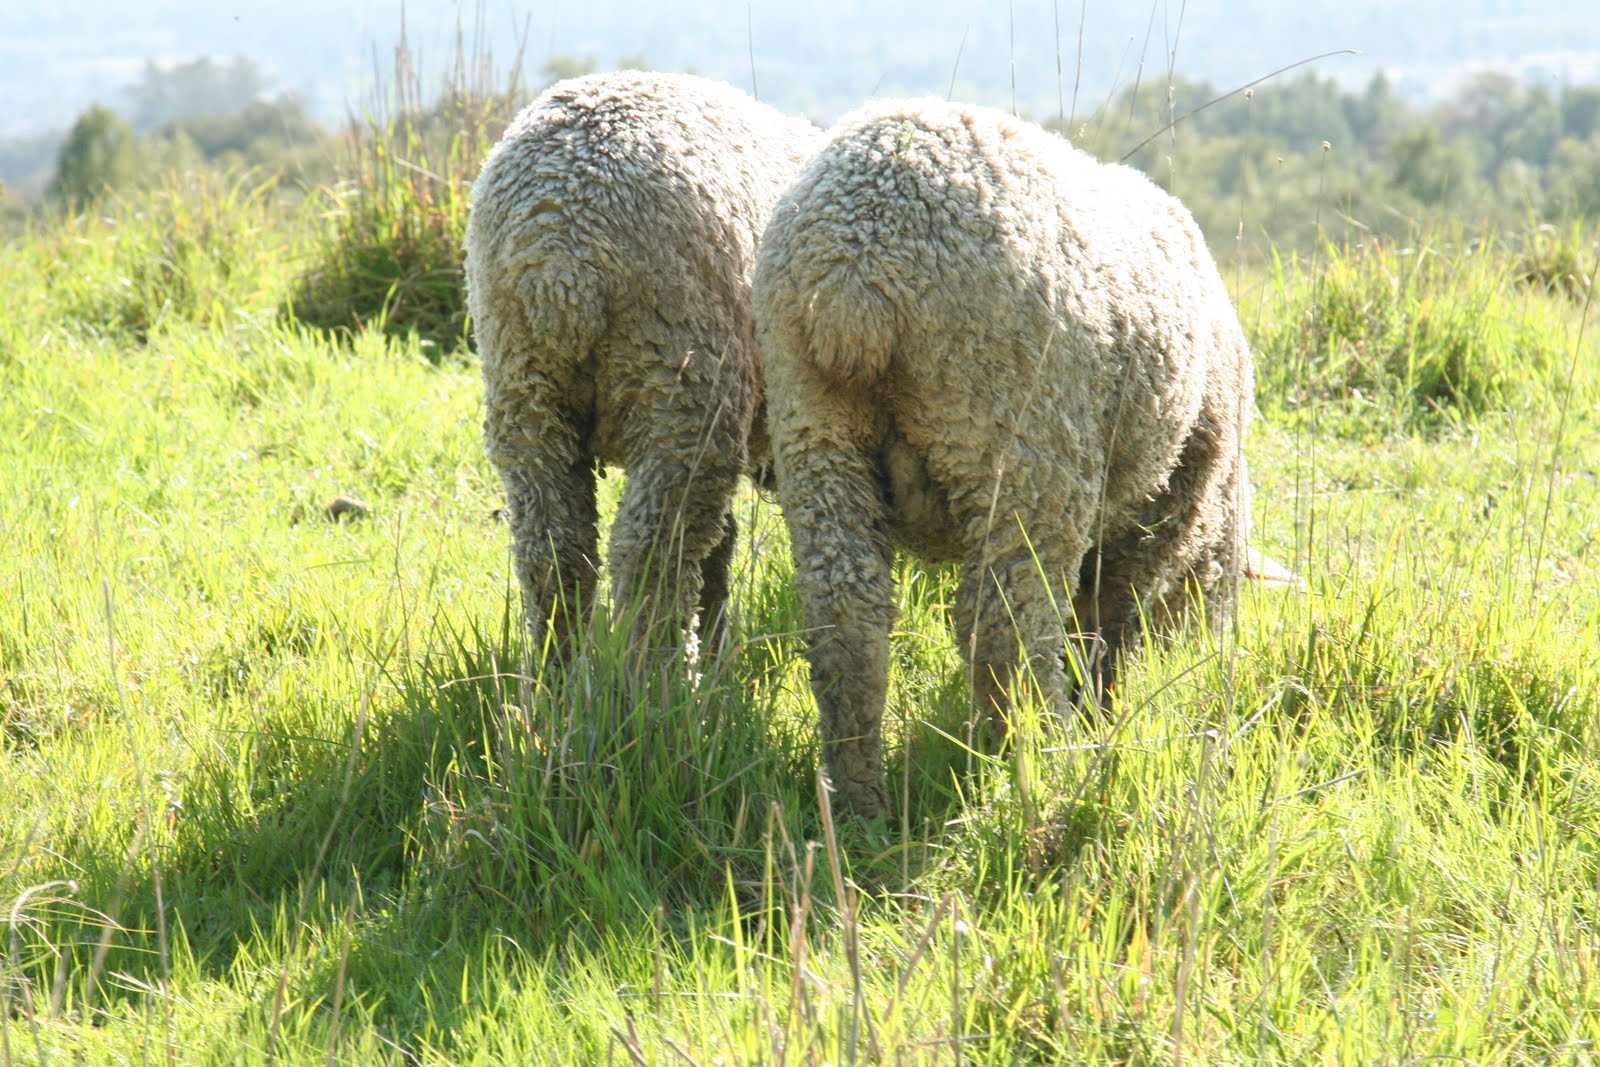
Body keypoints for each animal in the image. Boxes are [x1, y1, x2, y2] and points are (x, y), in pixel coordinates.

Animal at [465, 71, 816, 655]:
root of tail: (563, 244)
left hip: (526, 387)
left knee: (554, 549)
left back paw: (560, 668)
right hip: (683, 383)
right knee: (654, 551)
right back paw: (663, 669)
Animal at [754, 99, 1256, 818]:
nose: (1212, 651)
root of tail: (856, 264)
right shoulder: (1159, 514)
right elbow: (1109, 626)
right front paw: (1099, 712)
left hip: (814, 425)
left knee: (847, 614)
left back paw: (858, 796)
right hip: (1023, 443)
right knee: (1004, 624)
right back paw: (1041, 755)